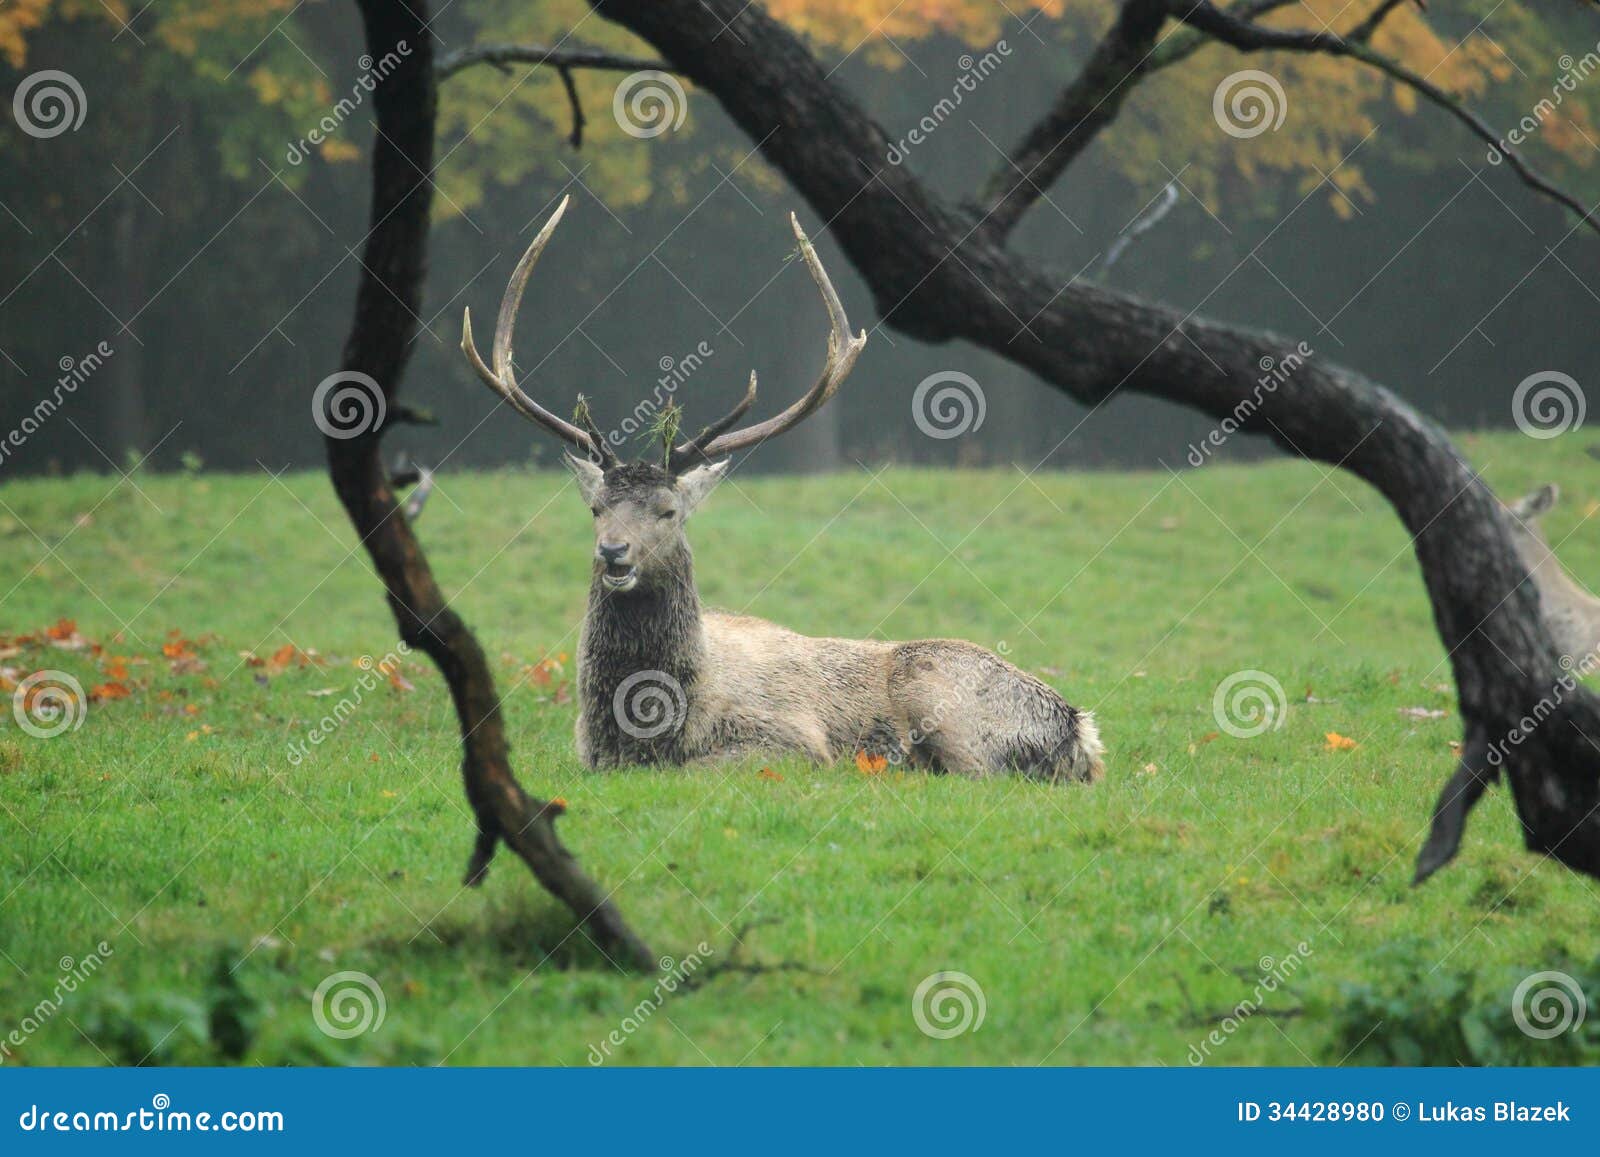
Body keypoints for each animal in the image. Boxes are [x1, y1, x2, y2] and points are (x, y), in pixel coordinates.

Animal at [458, 197, 1104, 782]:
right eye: (596, 508)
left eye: (669, 511)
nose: (613, 552)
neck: (647, 723)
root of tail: (1080, 729)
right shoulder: (588, 757)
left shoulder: (793, 741)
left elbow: (702, 768)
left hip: (939, 694)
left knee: (980, 776)